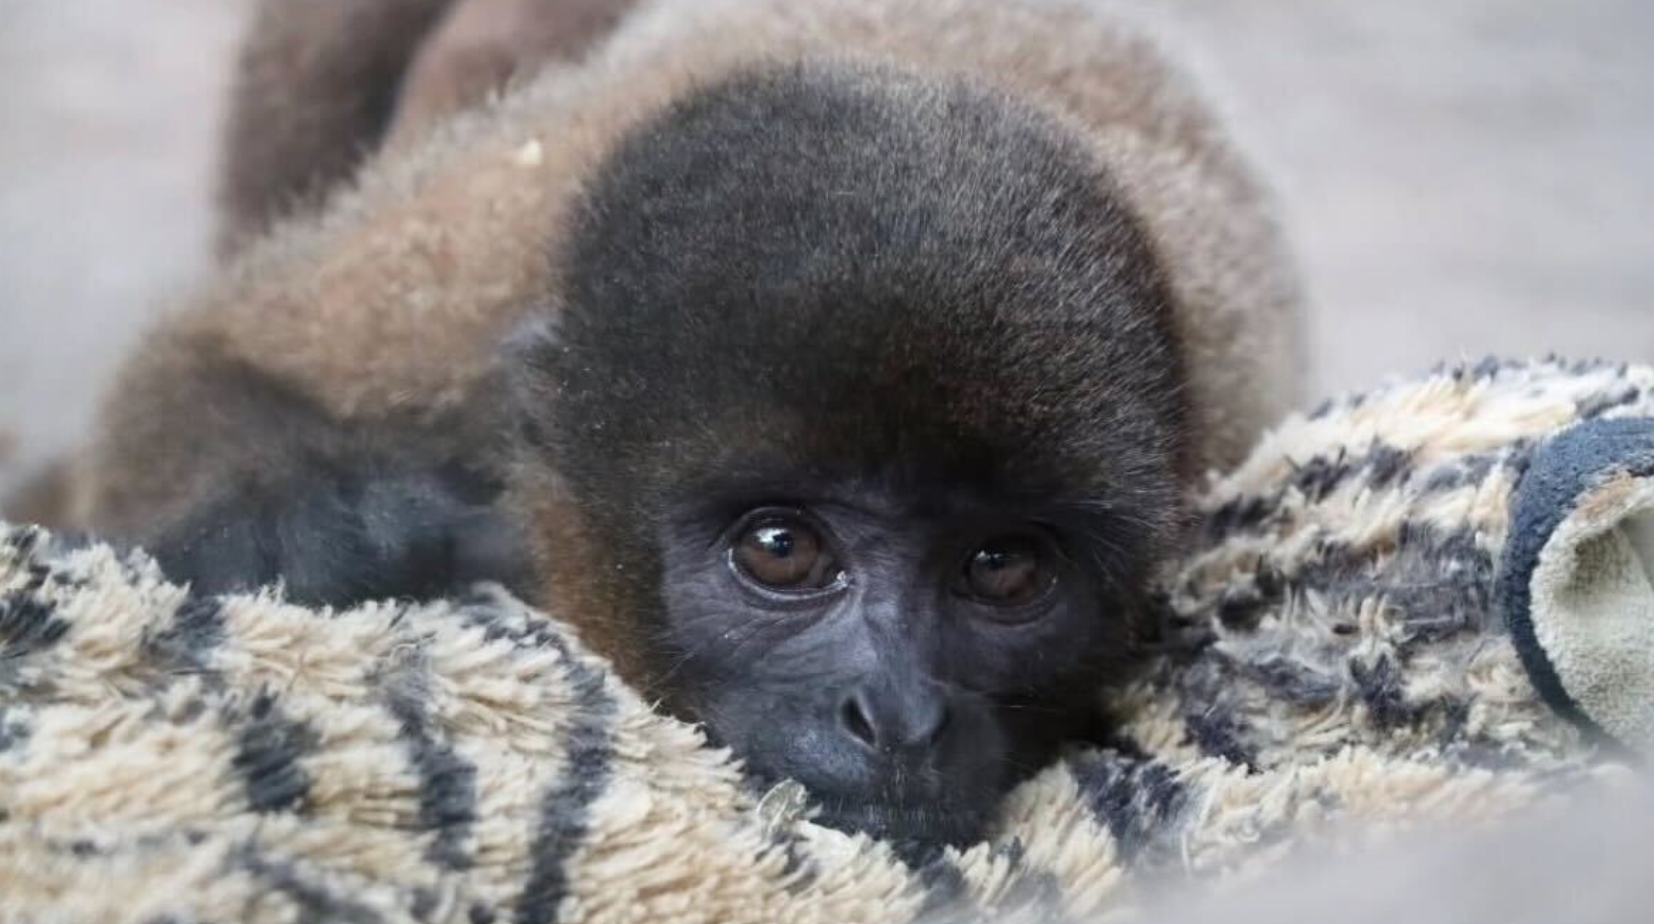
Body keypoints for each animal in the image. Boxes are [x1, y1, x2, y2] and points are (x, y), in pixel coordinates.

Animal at [67, 0, 1305, 845]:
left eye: (1001, 569)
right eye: (781, 550)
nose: (898, 718)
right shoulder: (464, 263)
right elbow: (192, 370)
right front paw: (359, 531)